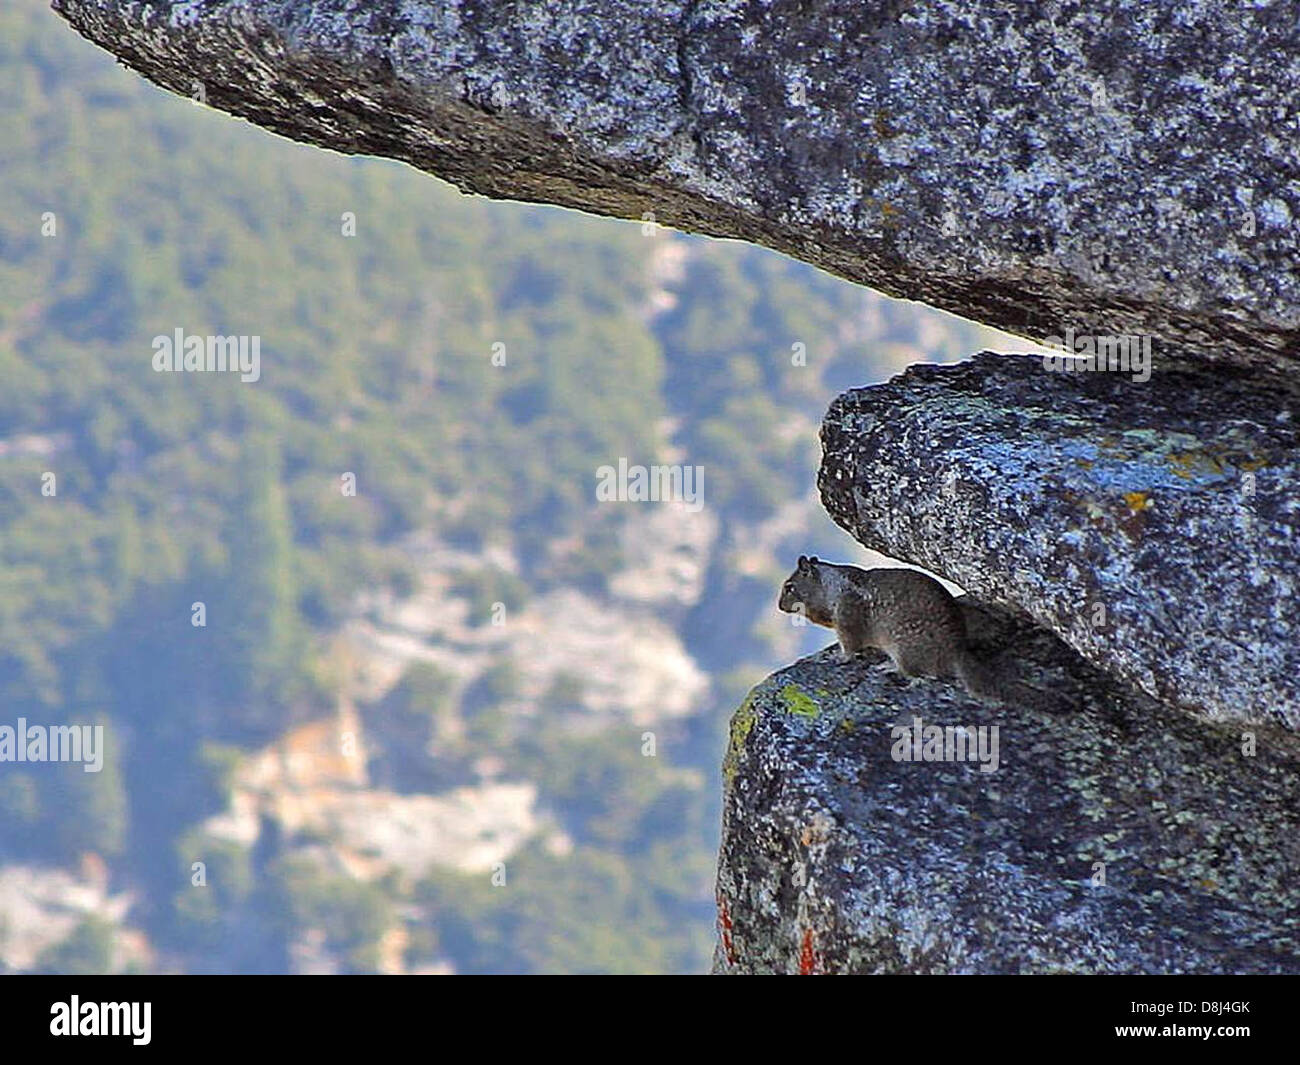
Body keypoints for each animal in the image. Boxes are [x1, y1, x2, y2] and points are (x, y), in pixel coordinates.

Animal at [779, 555, 1065, 713]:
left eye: (789, 587)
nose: (780, 607)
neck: (829, 587)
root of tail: (957, 652)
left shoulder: (847, 619)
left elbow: (849, 647)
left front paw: (835, 658)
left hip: (904, 649)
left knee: (922, 675)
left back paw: (889, 668)